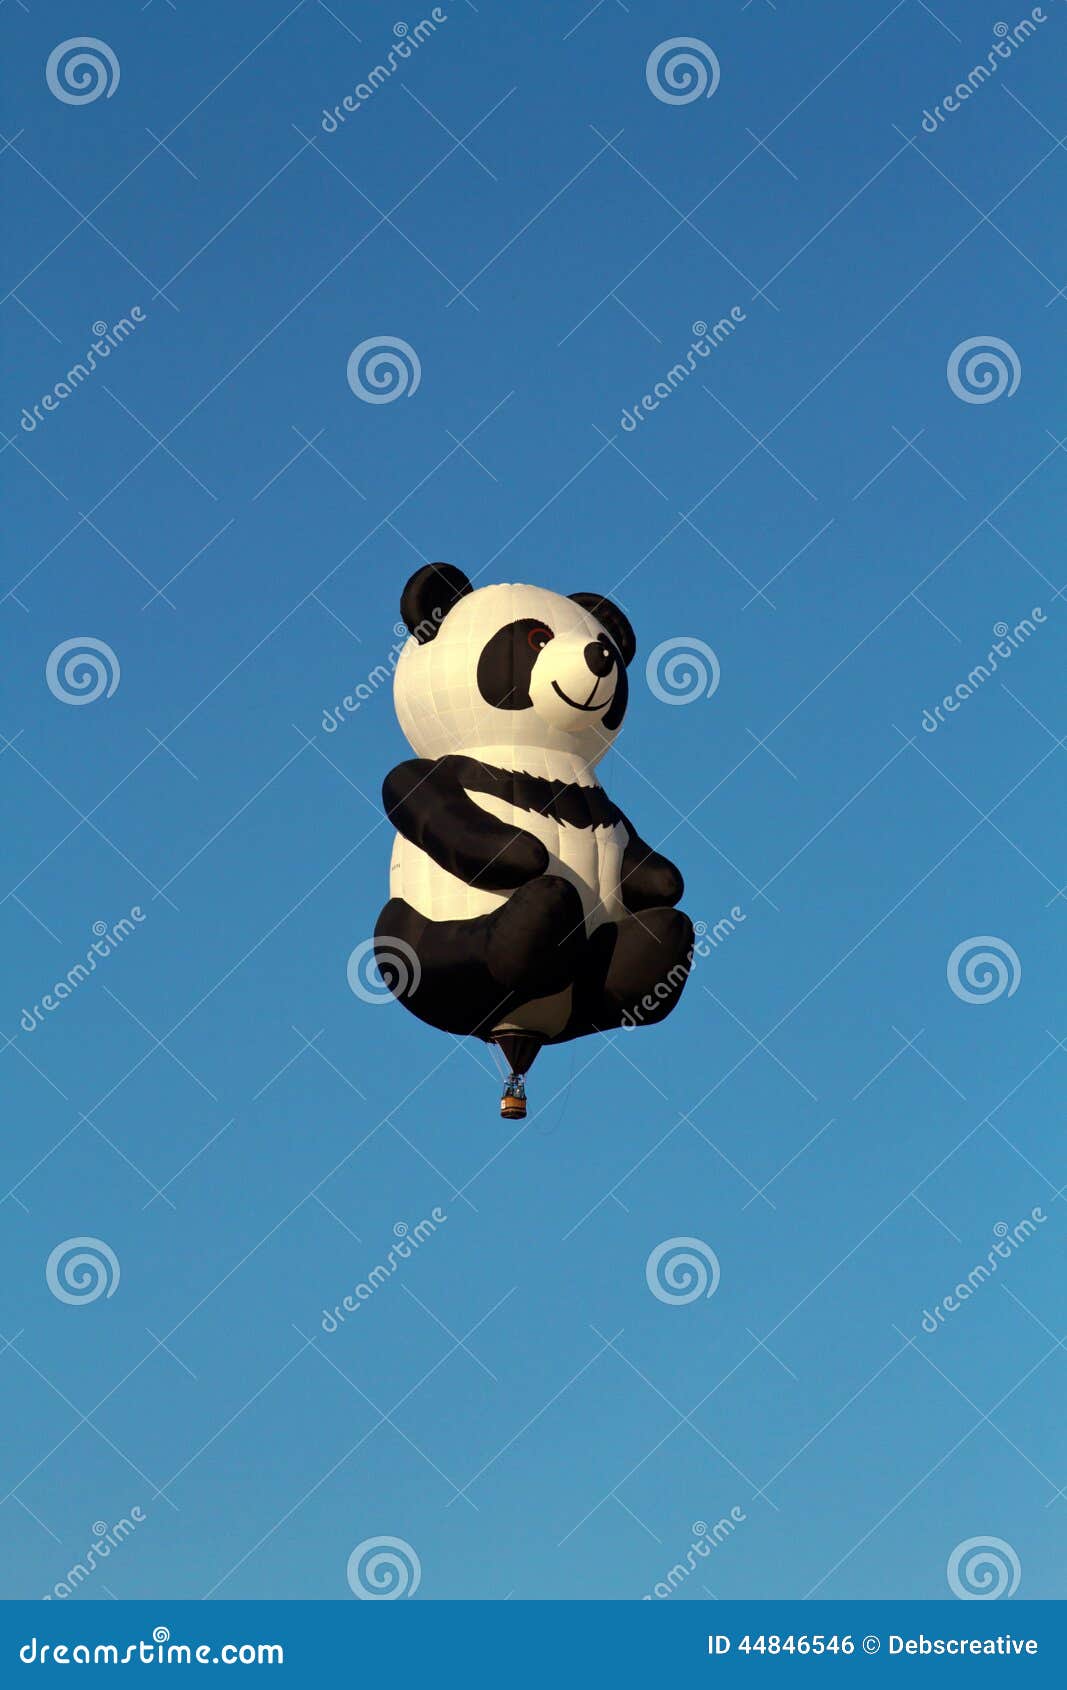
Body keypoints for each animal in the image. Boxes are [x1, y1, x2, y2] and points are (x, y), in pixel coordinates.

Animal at [375, 563, 693, 1079]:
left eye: (601, 637)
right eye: (537, 637)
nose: (601, 653)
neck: (543, 766)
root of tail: (521, 1030)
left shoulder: (612, 812)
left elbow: (654, 872)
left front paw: (664, 879)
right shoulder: (424, 775)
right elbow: (440, 812)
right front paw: (526, 851)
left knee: (660, 935)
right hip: (415, 939)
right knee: (474, 939)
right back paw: (536, 920)